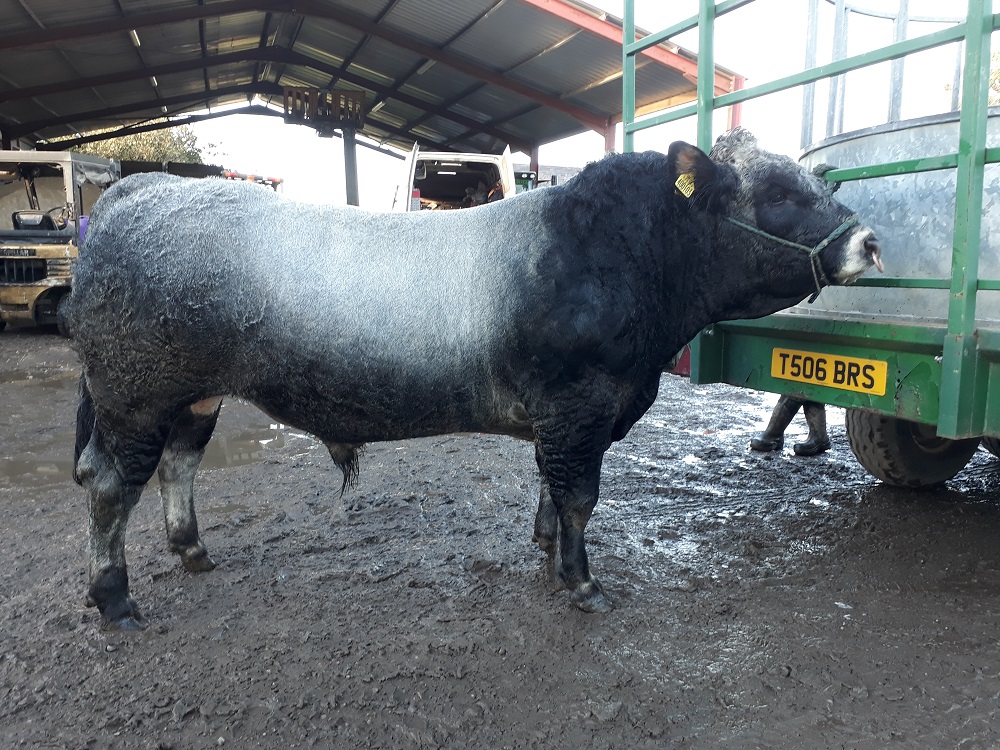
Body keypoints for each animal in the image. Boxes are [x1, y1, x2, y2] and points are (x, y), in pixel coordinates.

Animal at [63, 128, 881, 630]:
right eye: (779, 193)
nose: (870, 241)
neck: (625, 253)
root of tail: (138, 192)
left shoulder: (564, 418)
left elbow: (552, 486)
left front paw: (546, 552)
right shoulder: (581, 404)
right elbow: (579, 496)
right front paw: (582, 582)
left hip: (190, 397)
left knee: (178, 465)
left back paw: (192, 550)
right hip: (134, 396)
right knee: (110, 485)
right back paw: (115, 600)